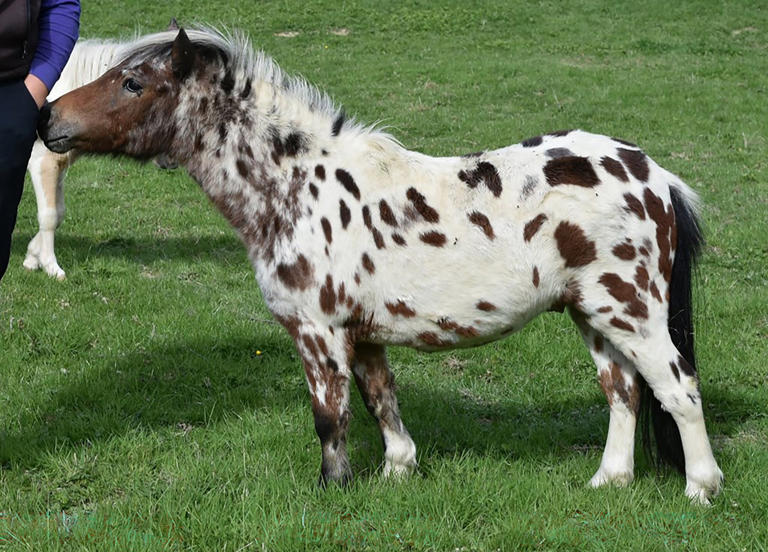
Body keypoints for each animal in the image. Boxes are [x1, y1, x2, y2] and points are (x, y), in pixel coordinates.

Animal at [23, 21, 179, 280]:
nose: (172, 161)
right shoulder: (42, 162)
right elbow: (49, 215)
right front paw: (51, 267)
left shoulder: (59, 165)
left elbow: (59, 212)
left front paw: (31, 257)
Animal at [38, 27, 723, 503]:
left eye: (133, 83)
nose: (48, 118)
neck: (297, 188)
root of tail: (655, 176)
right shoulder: (363, 335)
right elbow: (380, 400)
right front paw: (398, 471)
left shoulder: (317, 333)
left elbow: (330, 416)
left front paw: (332, 489)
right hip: (593, 315)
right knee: (624, 393)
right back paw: (609, 480)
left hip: (632, 312)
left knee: (678, 389)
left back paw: (701, 489)